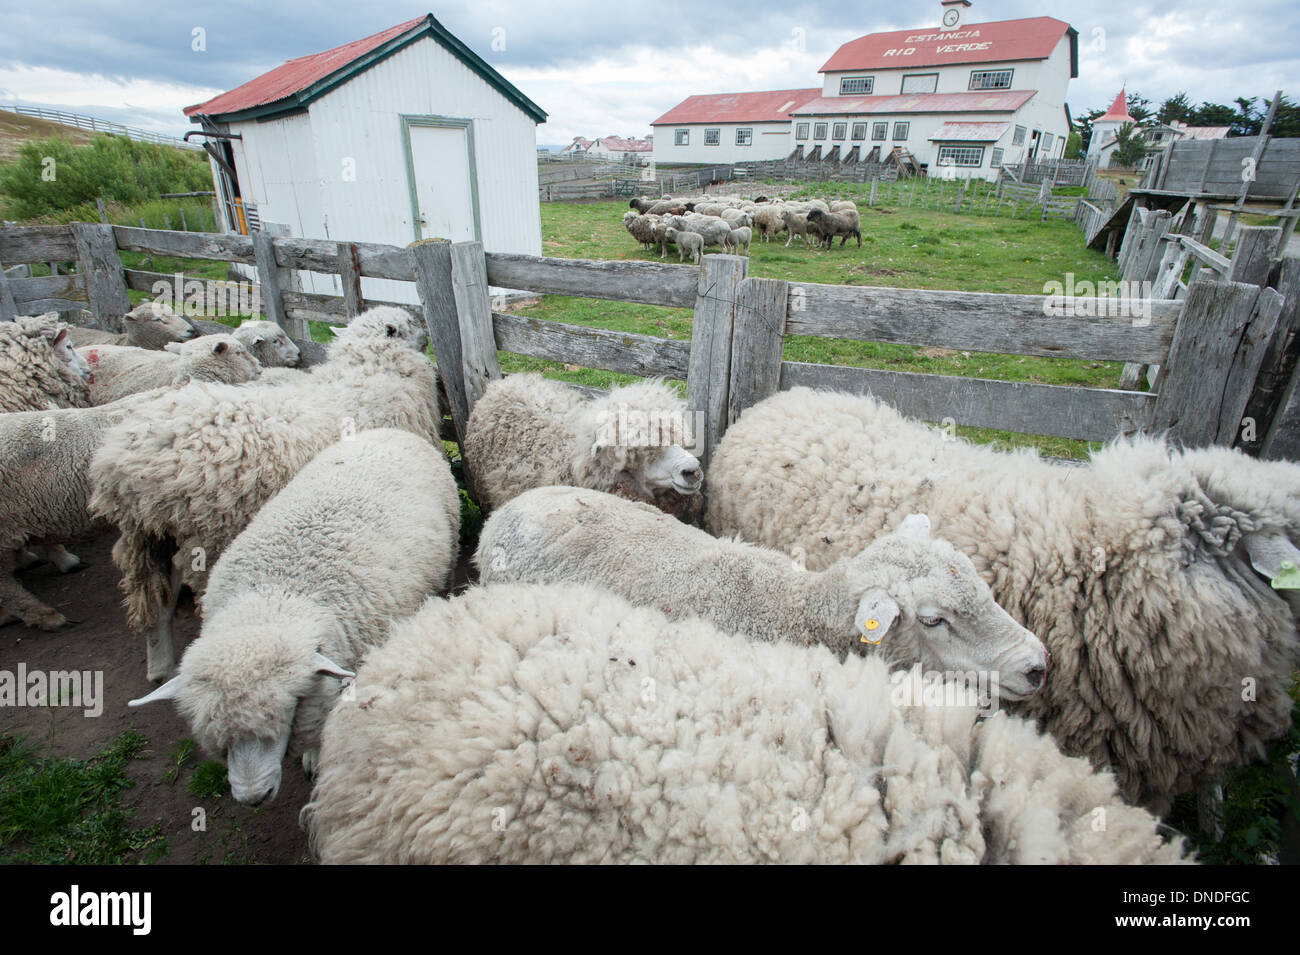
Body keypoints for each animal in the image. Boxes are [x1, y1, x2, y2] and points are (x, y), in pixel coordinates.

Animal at [128, 428, 461, 805]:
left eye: (286, 711)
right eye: (222, 736)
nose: (253, 797)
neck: (272, 600)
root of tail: (389, 432)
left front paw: (316, 756)